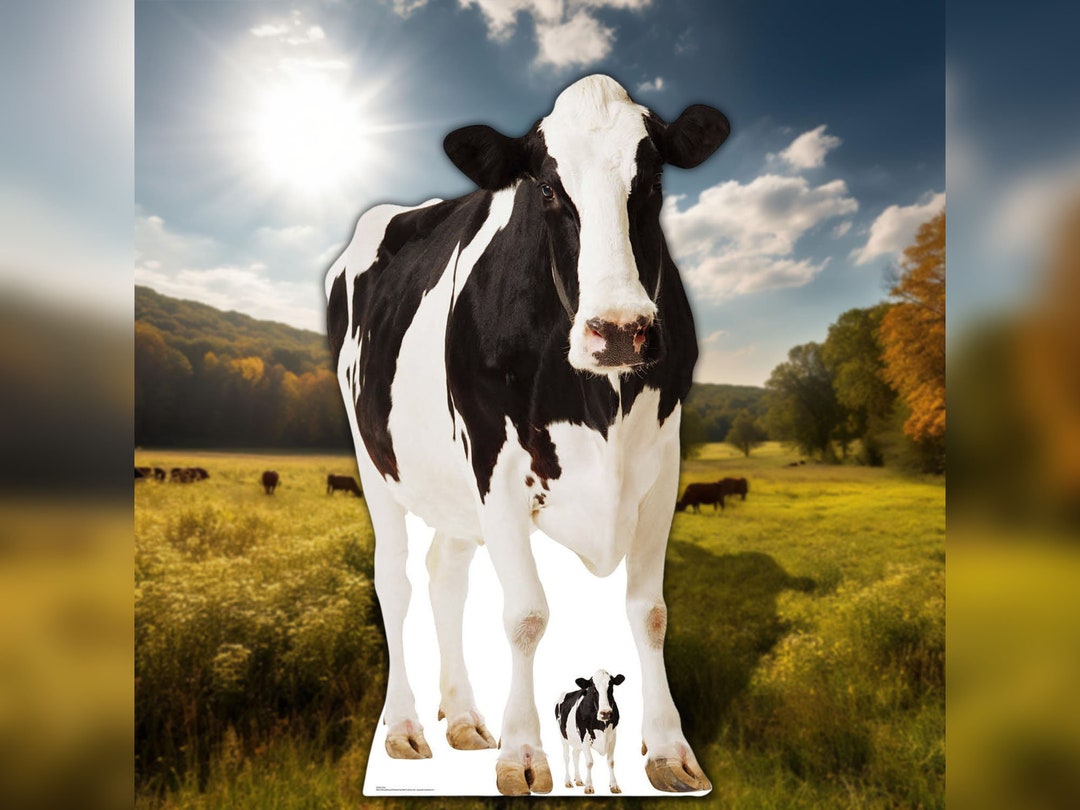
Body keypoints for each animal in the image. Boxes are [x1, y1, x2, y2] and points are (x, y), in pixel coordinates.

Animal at [325, 74, 728, 795]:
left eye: (652, 178)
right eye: (545, 188)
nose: (620, 330)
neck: (598, 401)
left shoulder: (662, 468)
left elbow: (649, 611)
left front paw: (668, 750)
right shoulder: (497, 466)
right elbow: (526, 615)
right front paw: (522, 755)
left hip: (454, 489)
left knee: (445, 575)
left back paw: (462, 716)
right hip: (377, 462)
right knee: (395, 581)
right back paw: (403, 727)